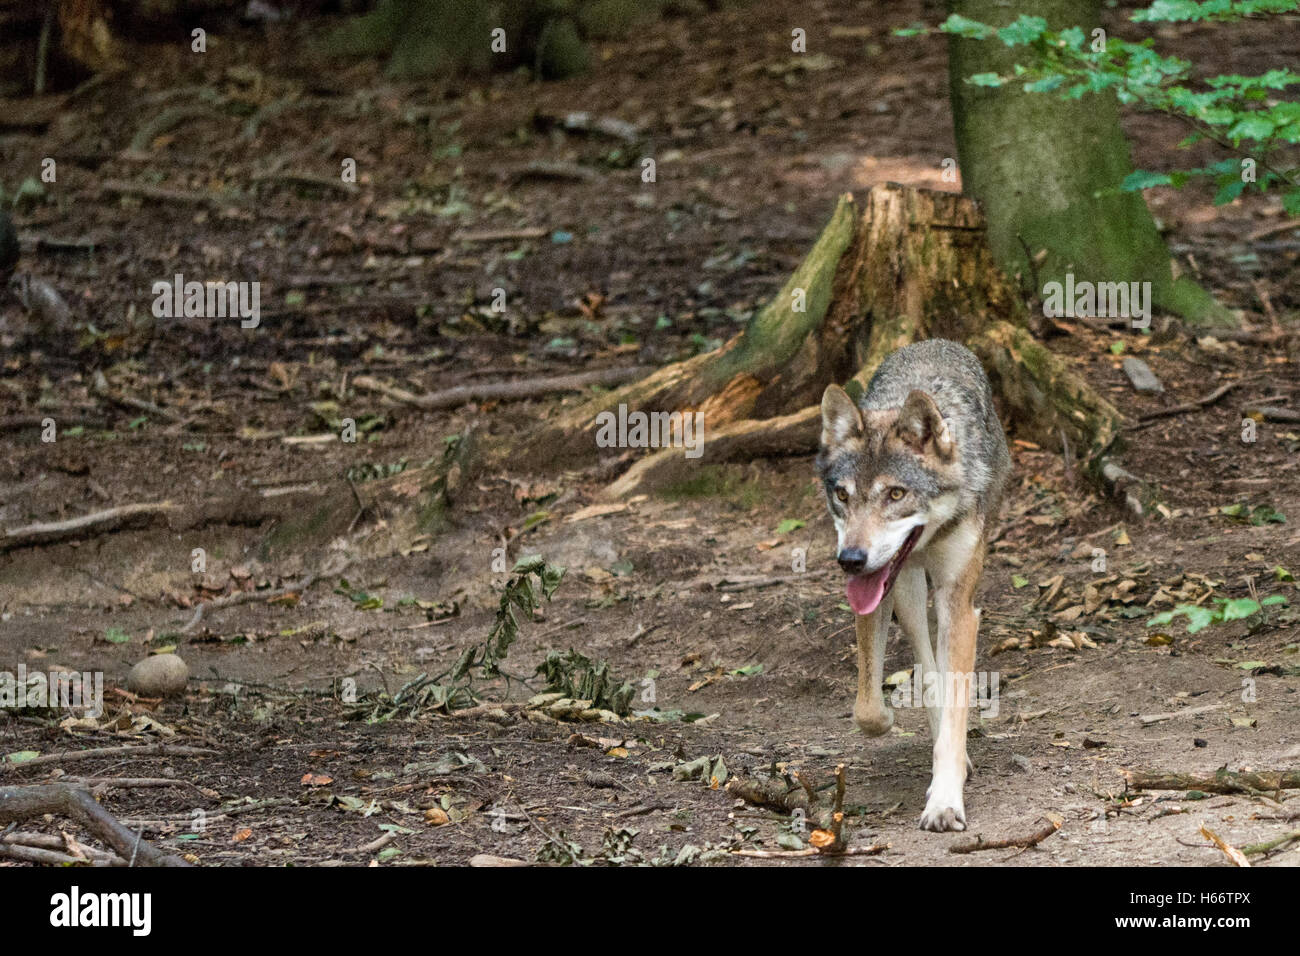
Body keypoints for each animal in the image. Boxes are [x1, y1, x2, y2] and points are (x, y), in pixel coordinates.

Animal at [816, 339, 1010, 831]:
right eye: (842, 495)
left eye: (896, 494)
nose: (850, 560)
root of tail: (935, 341)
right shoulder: (874, 591)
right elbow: (867, 708)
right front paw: (885, 721)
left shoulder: (961, 605)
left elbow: (956, 717)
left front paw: (944, 801)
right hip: (905, 591)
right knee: (926, 668)